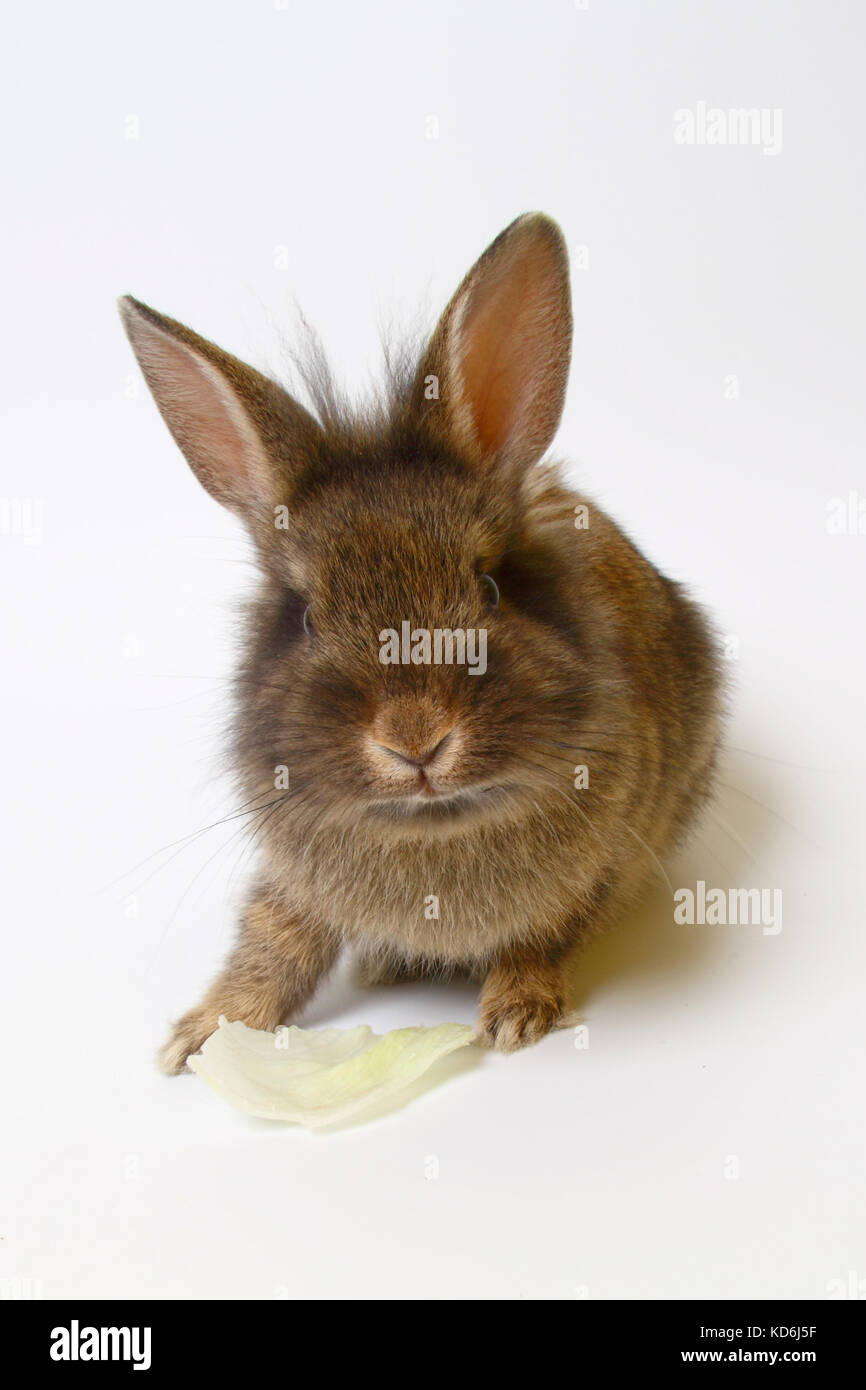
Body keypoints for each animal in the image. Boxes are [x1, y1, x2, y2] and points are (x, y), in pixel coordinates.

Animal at [119, 212, 723, 1074]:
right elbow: (273, 942)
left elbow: (543, 936)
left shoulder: (600, 868)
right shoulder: (291, 884)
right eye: (305, 616)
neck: (430, 825)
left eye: (491, 587)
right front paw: (203, 1035)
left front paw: (515, 1014)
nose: (415, 741)